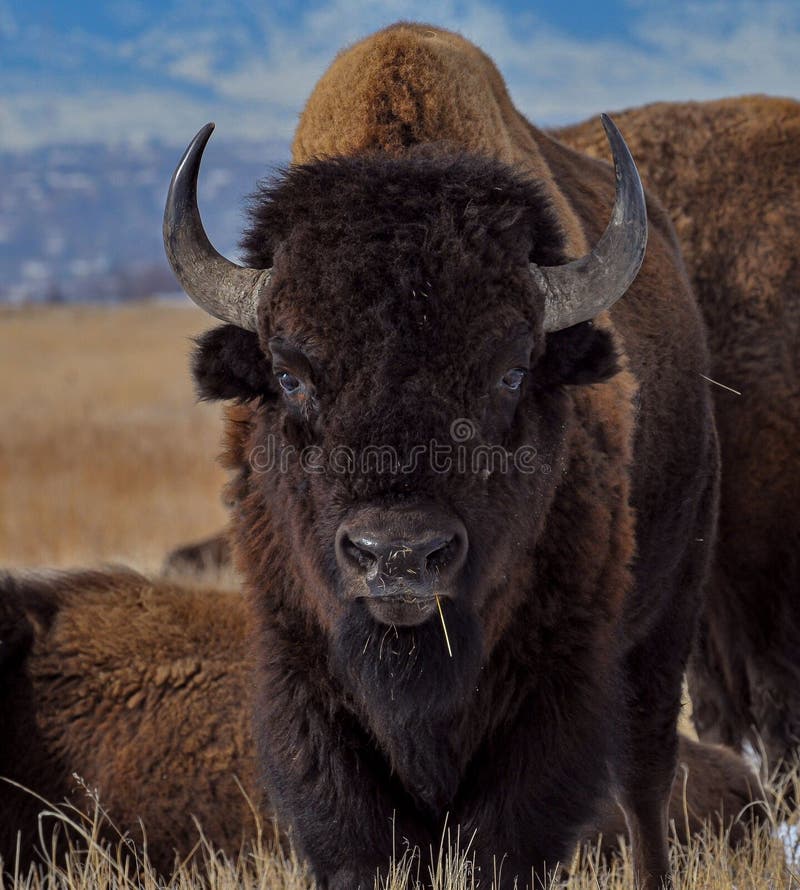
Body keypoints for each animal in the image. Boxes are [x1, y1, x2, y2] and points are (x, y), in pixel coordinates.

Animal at [163, 22, 718, 890]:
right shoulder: (304, 672)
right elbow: (357, 833)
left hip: (669, 612)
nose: (398, 556)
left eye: (512, 370)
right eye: (289, 374)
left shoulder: (556, 683)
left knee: (644, 775)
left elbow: (509, 835)